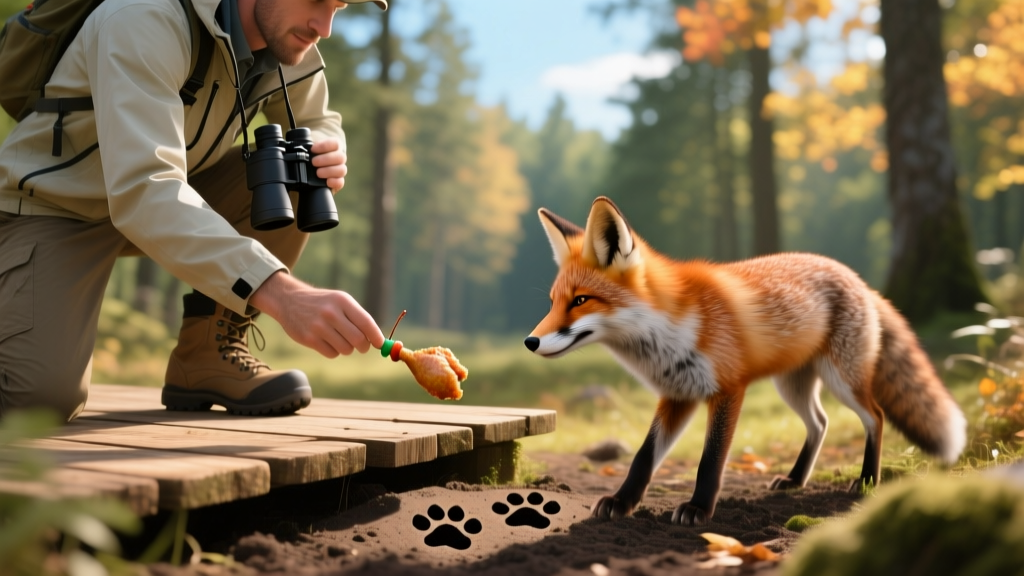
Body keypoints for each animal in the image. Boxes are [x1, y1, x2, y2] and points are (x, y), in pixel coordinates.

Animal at [524, 196, 967, 526]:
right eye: (553, 302)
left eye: (580, 301)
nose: (530, 341)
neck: (668, 332)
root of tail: (858, 279)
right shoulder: (677, 395)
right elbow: (643, 458)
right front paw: (622, 502)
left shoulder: (726, 390)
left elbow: (710, 461)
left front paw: (698, 509)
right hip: (792, 386)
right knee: (820, 423)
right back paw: (794, 480)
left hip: (843, 381)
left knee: (875, 416)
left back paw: (867, 481)